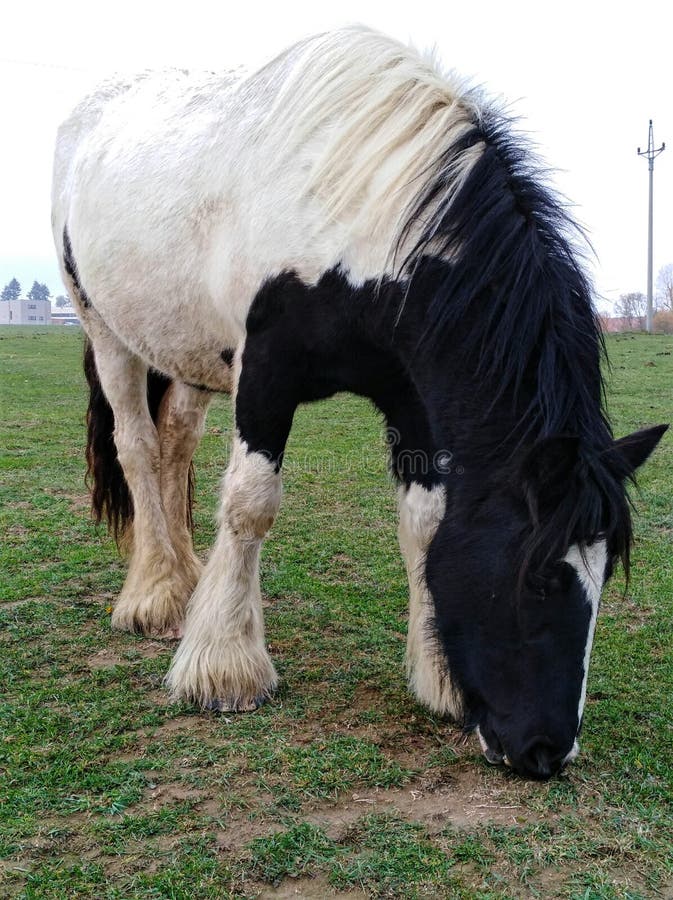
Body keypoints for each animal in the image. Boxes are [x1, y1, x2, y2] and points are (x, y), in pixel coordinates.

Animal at [52, 26, 666, 779]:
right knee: (137, 449)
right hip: (106, 331)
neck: (359, 224)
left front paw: (437, 677)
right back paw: (157, 593)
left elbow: (425, 525)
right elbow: (251, 505)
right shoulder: (266, 373)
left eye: (603, 572)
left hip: (188, 353)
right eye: (540, 580)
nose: (547, 752)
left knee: (174, 445)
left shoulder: (411, 396)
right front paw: (225, 667)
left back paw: (188, 576)